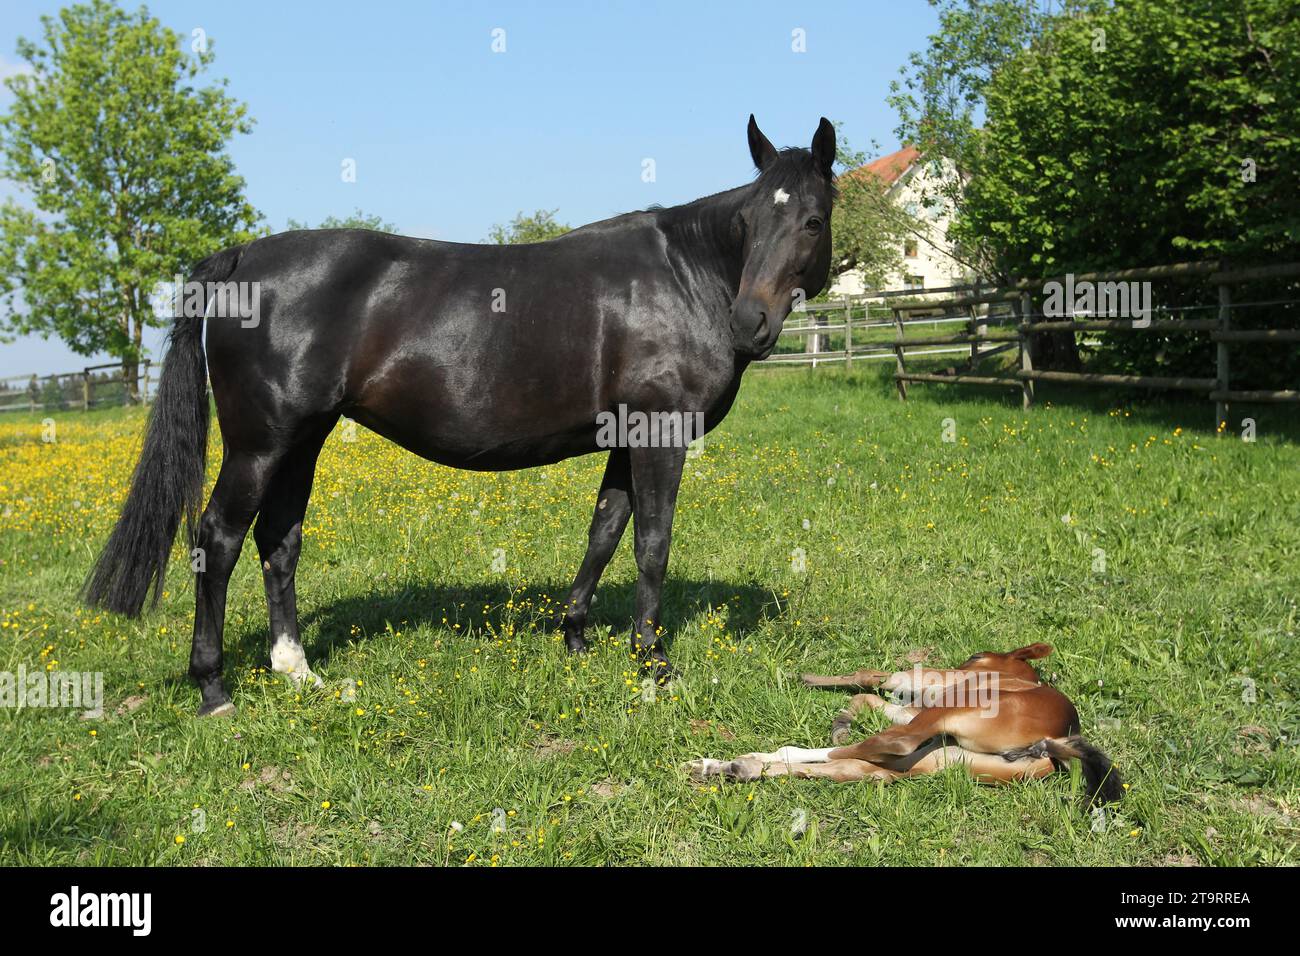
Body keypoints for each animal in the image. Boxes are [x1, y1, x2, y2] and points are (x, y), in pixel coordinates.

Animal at [84, 116, 838, 717]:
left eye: (810, 220)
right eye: (749, 222)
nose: (750, 322)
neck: (684, 275)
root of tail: (241, 256)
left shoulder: (625, 437)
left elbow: (604, 531)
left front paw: (576, 637)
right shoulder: (660, 434)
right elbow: (651, 543)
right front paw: (652, 663)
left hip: (301, 440)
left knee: (280, 540)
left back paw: (297, 669)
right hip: (259, 445)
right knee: (218, 538)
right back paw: (213, 687)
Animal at [687, 643, 1124, 810]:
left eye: (975, 656)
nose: (966, 664)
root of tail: (1054, 740)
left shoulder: (931, 696)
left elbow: (873, 680)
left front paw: (810, 682)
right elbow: (870, 699)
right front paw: (840, 718)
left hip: (936, 723)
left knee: (877, 748)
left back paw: (735, 763)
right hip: (943, 758)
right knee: (858, 767)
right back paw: (730, 767)